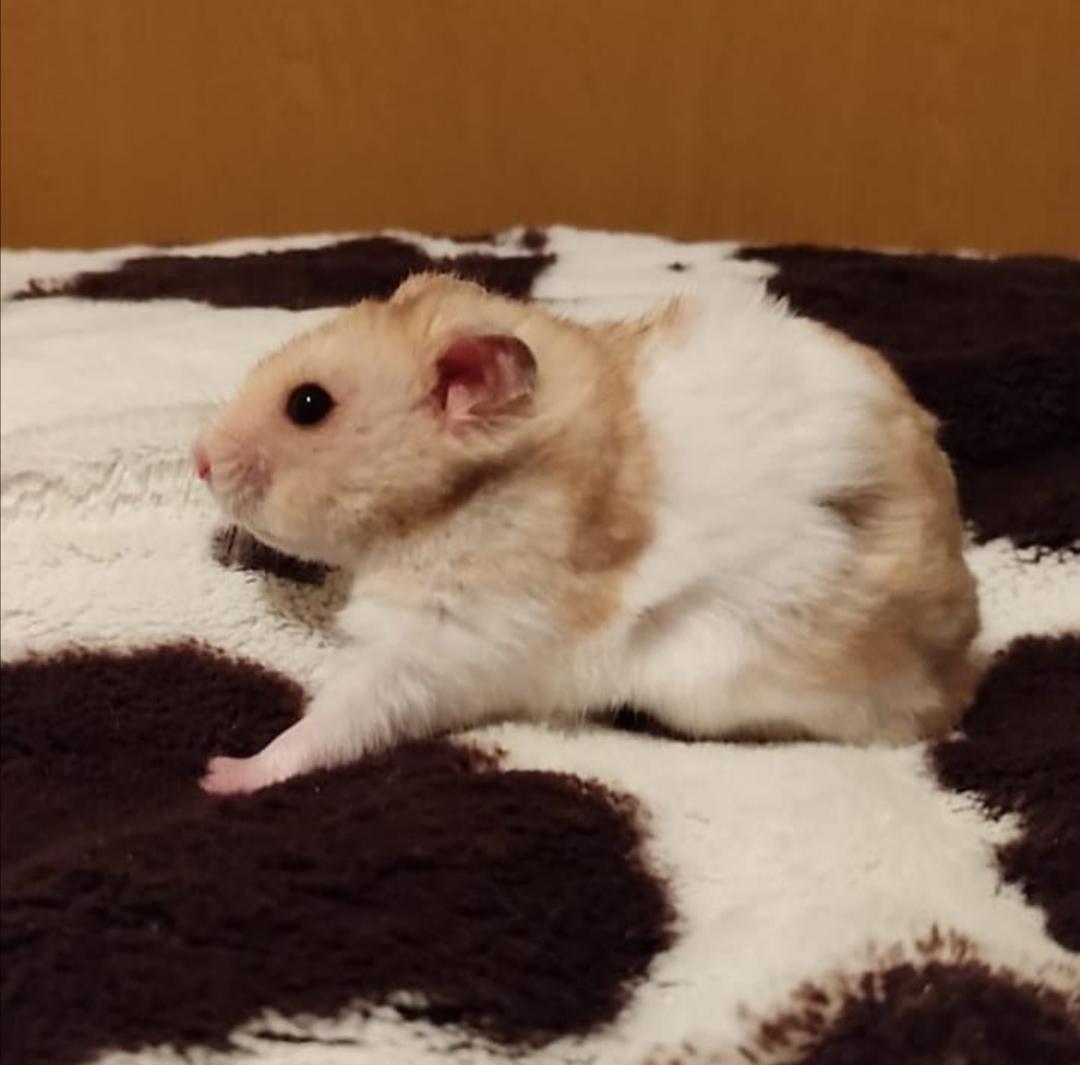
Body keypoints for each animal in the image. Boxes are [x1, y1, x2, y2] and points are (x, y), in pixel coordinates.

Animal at [193, 272, 980, 795]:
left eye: (308, 404)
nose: (198, 459)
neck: (463, 497)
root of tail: (963, 666)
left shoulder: (442, 643)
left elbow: (336, 718)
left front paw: (222, 773)